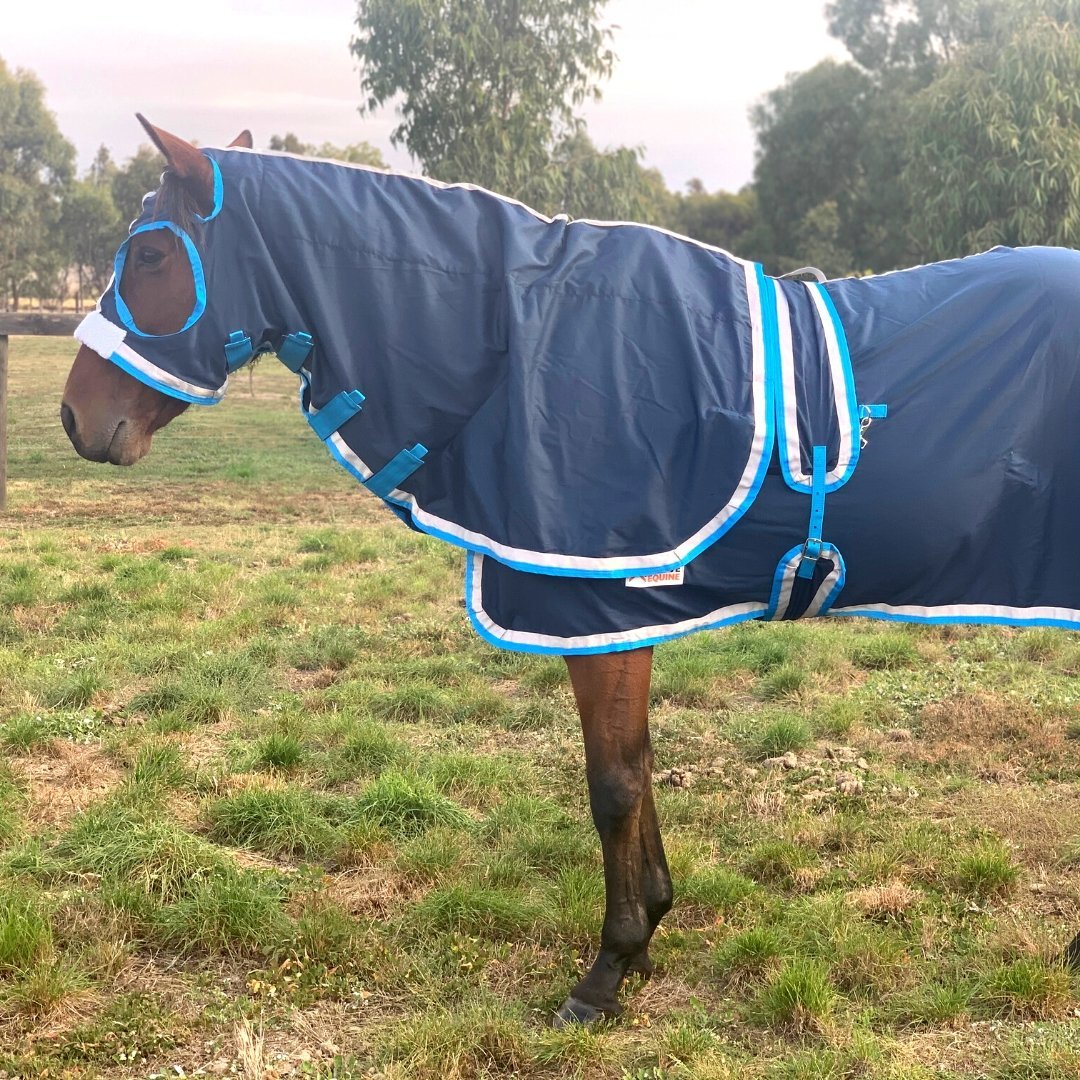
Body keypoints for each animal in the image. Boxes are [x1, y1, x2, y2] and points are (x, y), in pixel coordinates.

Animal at [61, 116, 1080, 1024]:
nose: (77, 419)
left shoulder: (594, 603)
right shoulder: (616, 615)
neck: (519, 338)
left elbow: (613, 784)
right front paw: (651, 930)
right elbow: (638, 767)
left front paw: (608, 970)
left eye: (150, 257)